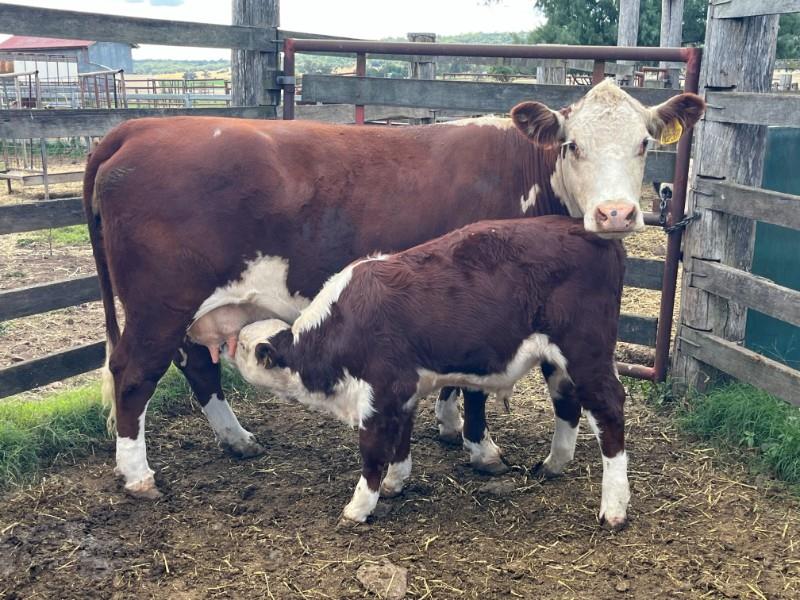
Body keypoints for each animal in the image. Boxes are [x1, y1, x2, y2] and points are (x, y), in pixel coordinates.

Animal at [234, 216, 628, 527]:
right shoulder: (402, 393)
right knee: (568, 404)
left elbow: (373, 451)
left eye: (242, 346)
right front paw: (394, 484)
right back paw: (553, 464)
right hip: (560, 361)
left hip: (587, 353)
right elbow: (400, 442)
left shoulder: (381, 391)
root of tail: (585, 230)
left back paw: (614, 509)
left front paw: (357, 508)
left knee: (608, 410)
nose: (227, 344)